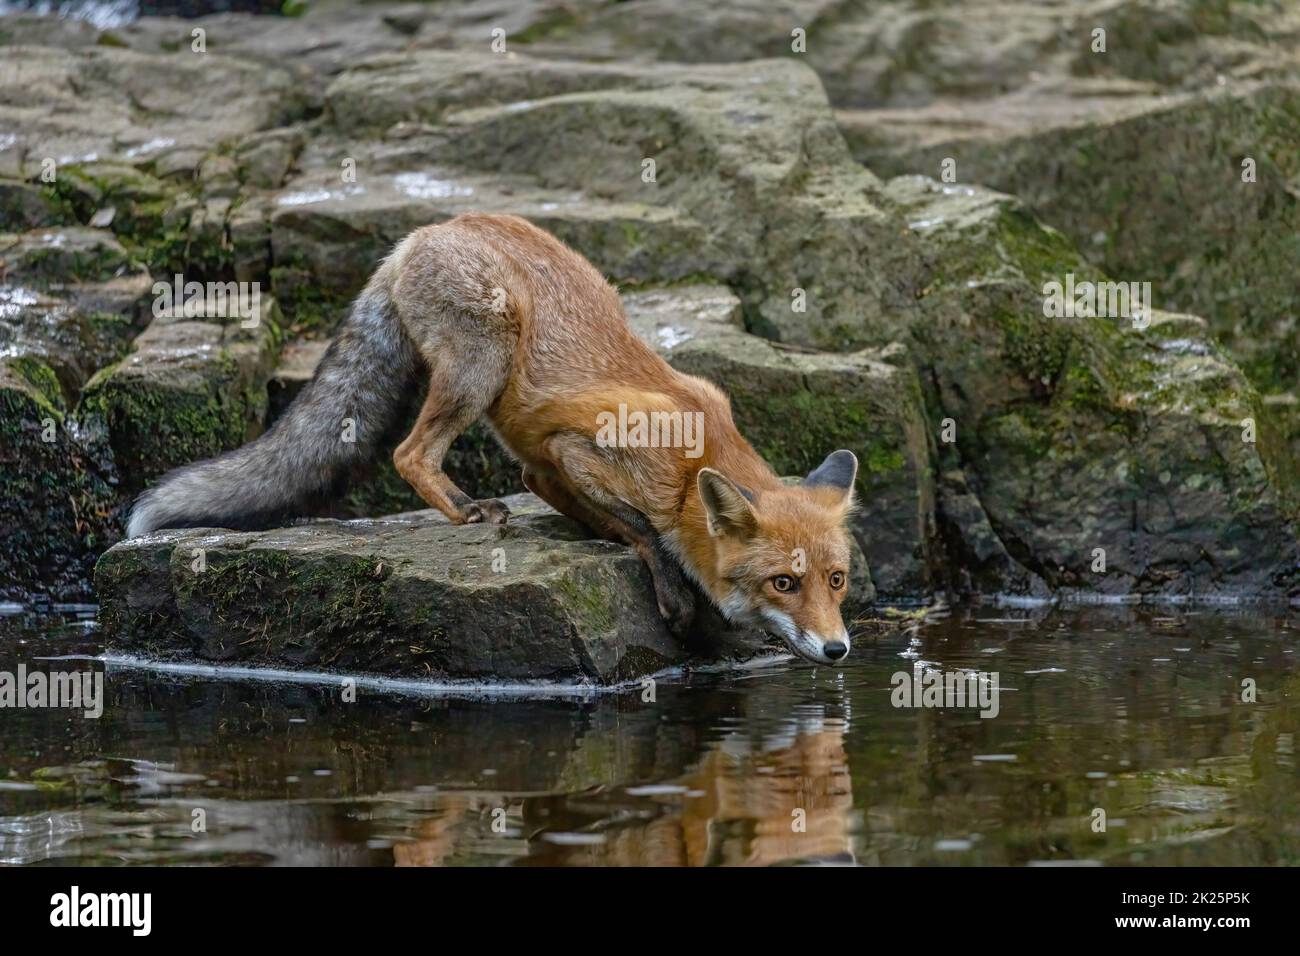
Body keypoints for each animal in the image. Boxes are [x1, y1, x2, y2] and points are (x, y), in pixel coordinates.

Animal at [127, 213, 860, 665]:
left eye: (837, 580)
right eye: (783, 584)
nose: (839, 651)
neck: (690, 469)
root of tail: (424, 232)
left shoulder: (548, 464)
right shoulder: (579, 455)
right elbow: (641, 534)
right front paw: (674, 594)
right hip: (483, 360)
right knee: (409, 453)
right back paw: (462, 509)